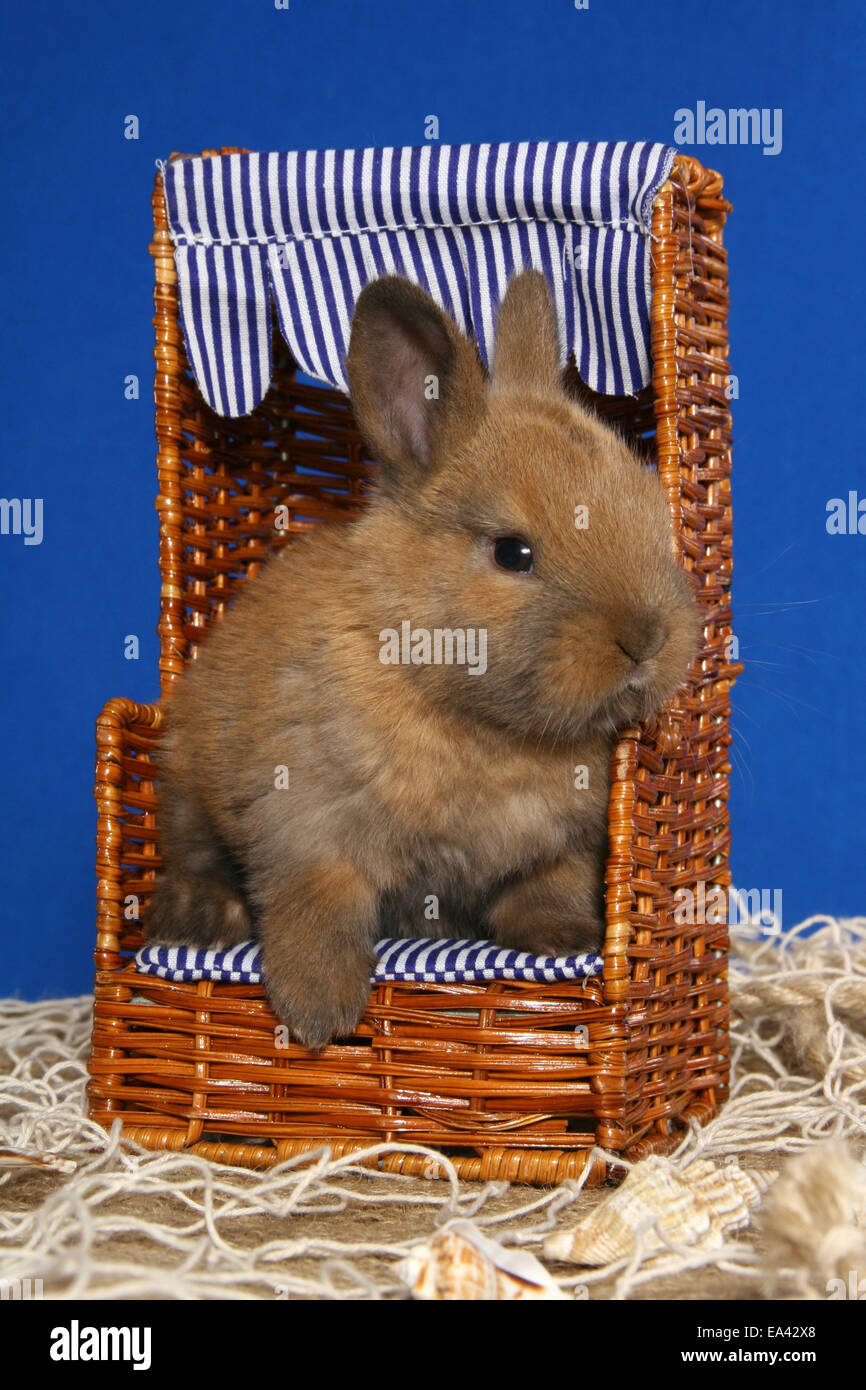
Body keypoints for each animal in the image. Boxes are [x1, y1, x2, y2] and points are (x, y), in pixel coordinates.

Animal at [145, 269, 701, 1049]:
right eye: (512, 552)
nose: (647, 640)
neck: (478, 721)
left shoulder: (565, 847)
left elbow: (545, 889)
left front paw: (568, 939)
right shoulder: (307, 823)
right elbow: (315, 908)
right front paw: (317, 1013)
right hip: (189, 780)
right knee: (194, 853)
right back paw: (199, 922)